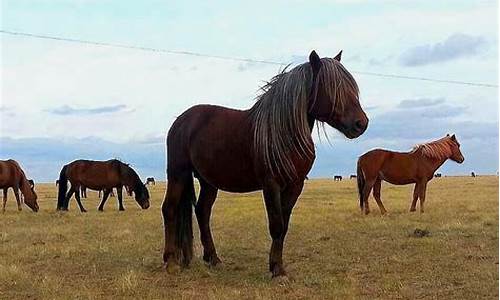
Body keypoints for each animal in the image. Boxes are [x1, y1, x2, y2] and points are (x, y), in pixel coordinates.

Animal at [162, 50, 370, 278]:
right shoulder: (271, 184)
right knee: (169, 209)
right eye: (333, 88)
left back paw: (213, 259)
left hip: (209, 182)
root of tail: (181, 121)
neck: (283, 133)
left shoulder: (295, 185)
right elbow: (276, 225)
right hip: (178, 174)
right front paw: (277, 269)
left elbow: (284, 226)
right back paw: (170, 261)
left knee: (202, 212)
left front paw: (277, 265)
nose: (361, 124)